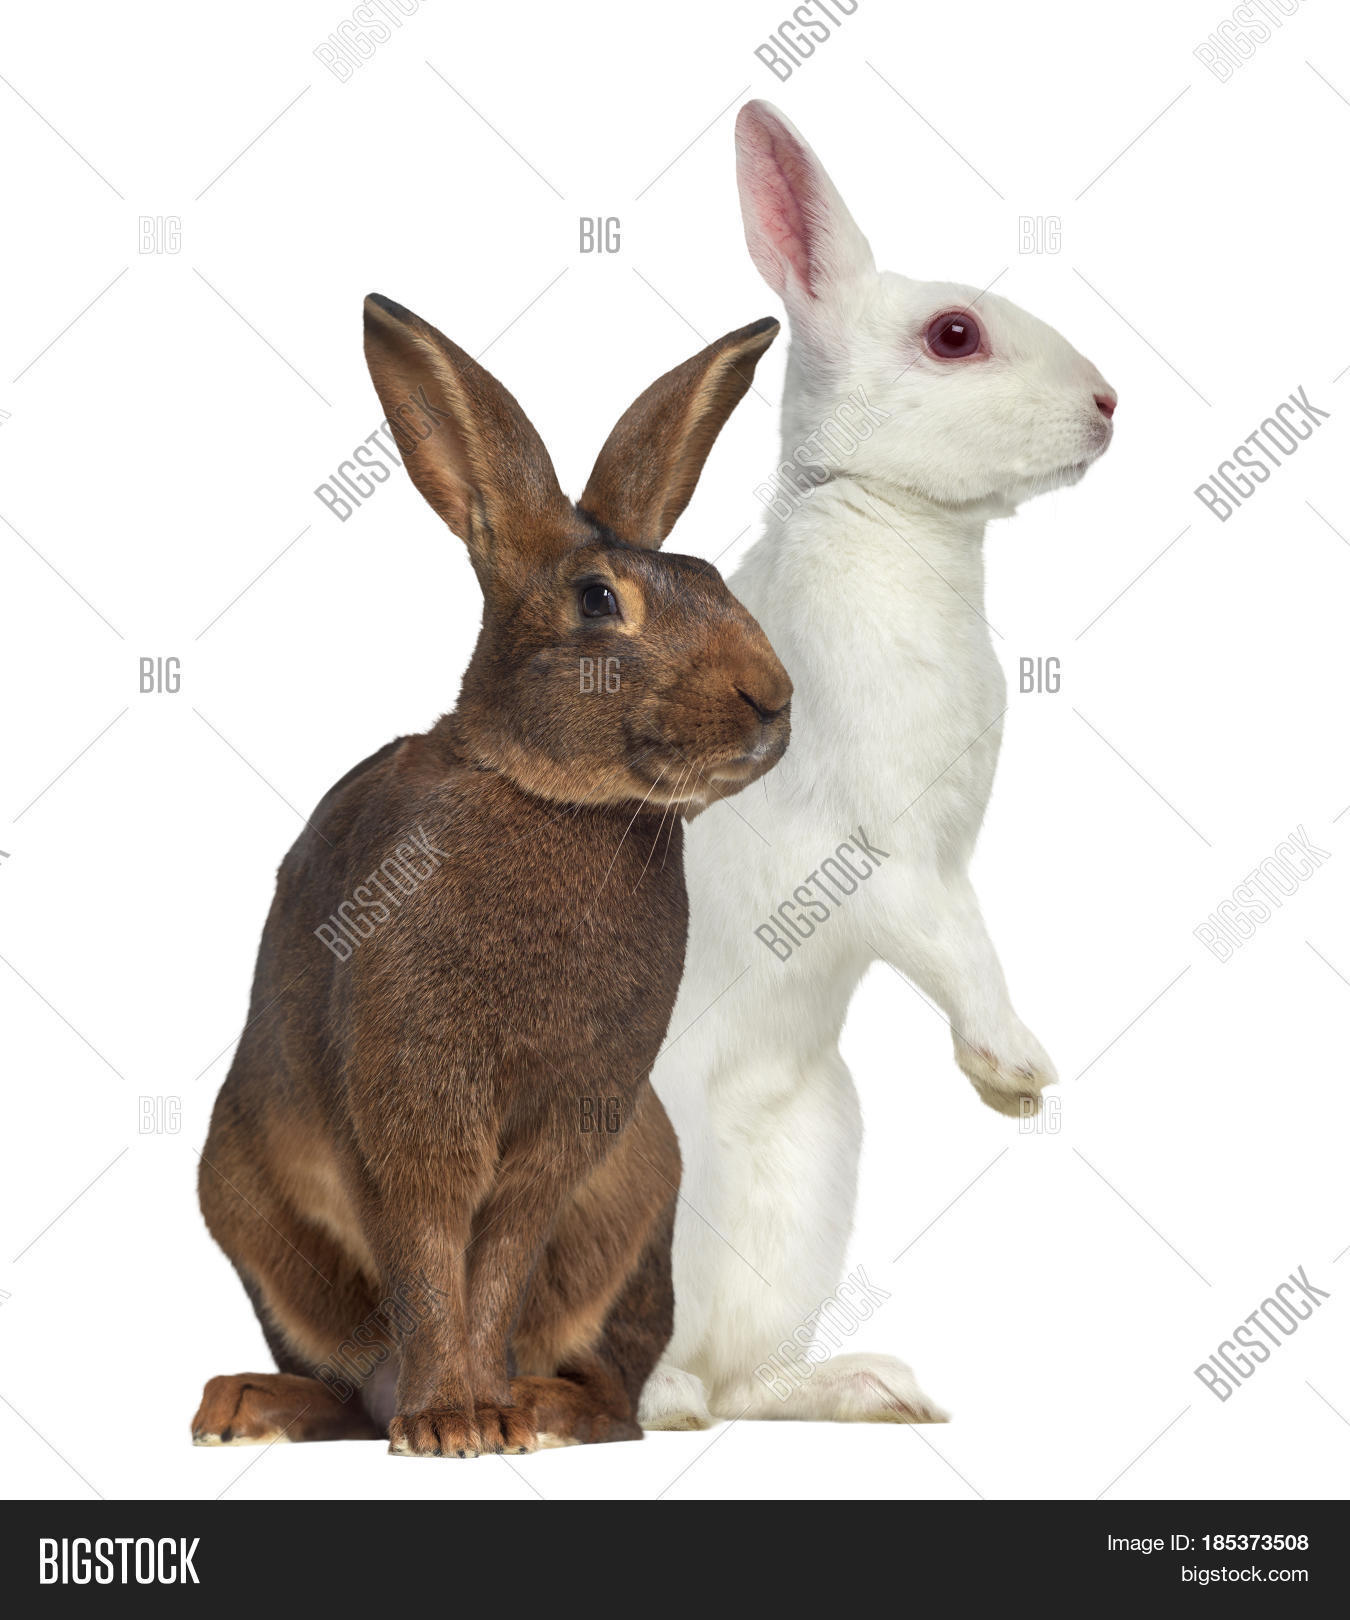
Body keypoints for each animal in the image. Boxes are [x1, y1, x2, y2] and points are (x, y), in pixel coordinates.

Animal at [192, 294, 790, 1457]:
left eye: (712, 581)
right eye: (599, 601)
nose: (773, 697)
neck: (553, 796)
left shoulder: (573, 1124)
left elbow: (500, 1255)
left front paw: (484, 1417)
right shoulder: (408, 1103)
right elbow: (431, 1249)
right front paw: (444, 1425)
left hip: (639, 1197)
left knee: (618, 1392)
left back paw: (545, 1405)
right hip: (246, 1203)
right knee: (337, 1376)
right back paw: (251, 1406)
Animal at [638, 102, 1117, 1431]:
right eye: (954, 336)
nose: (1111, 401)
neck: (888, 518)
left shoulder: (941, 860)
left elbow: (968, 935)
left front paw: (1007, 1088)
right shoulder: (877, 857)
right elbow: (959, 949)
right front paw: (1017, 1069)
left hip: (812, 1158)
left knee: (746, 1376)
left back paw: (872, 1390)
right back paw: (652, 1403)